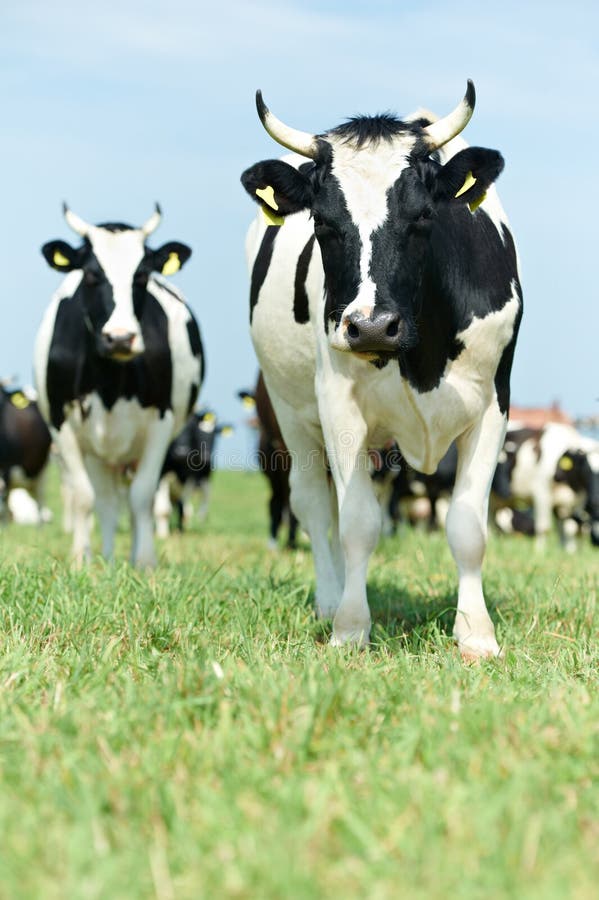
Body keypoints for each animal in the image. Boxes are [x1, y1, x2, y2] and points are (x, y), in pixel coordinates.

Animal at [34, 204, 204, 567]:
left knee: (132, 500)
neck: (110, 383)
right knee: (107, 501)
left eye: (141, 276)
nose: (121, 337)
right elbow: (85, 497)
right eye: (91, 275)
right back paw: (109, 557)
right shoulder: (61, 422)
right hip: (99, 452)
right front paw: (81, 560)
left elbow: (142, 496)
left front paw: (145, 562)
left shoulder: (161, 422)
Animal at [154, 409, 232, 537]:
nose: (181, 452)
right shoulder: (160, 476)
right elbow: (163, 509)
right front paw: (162, 534)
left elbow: (183, 507)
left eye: (192, 429)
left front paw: (180, 531)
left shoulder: (189, 478)